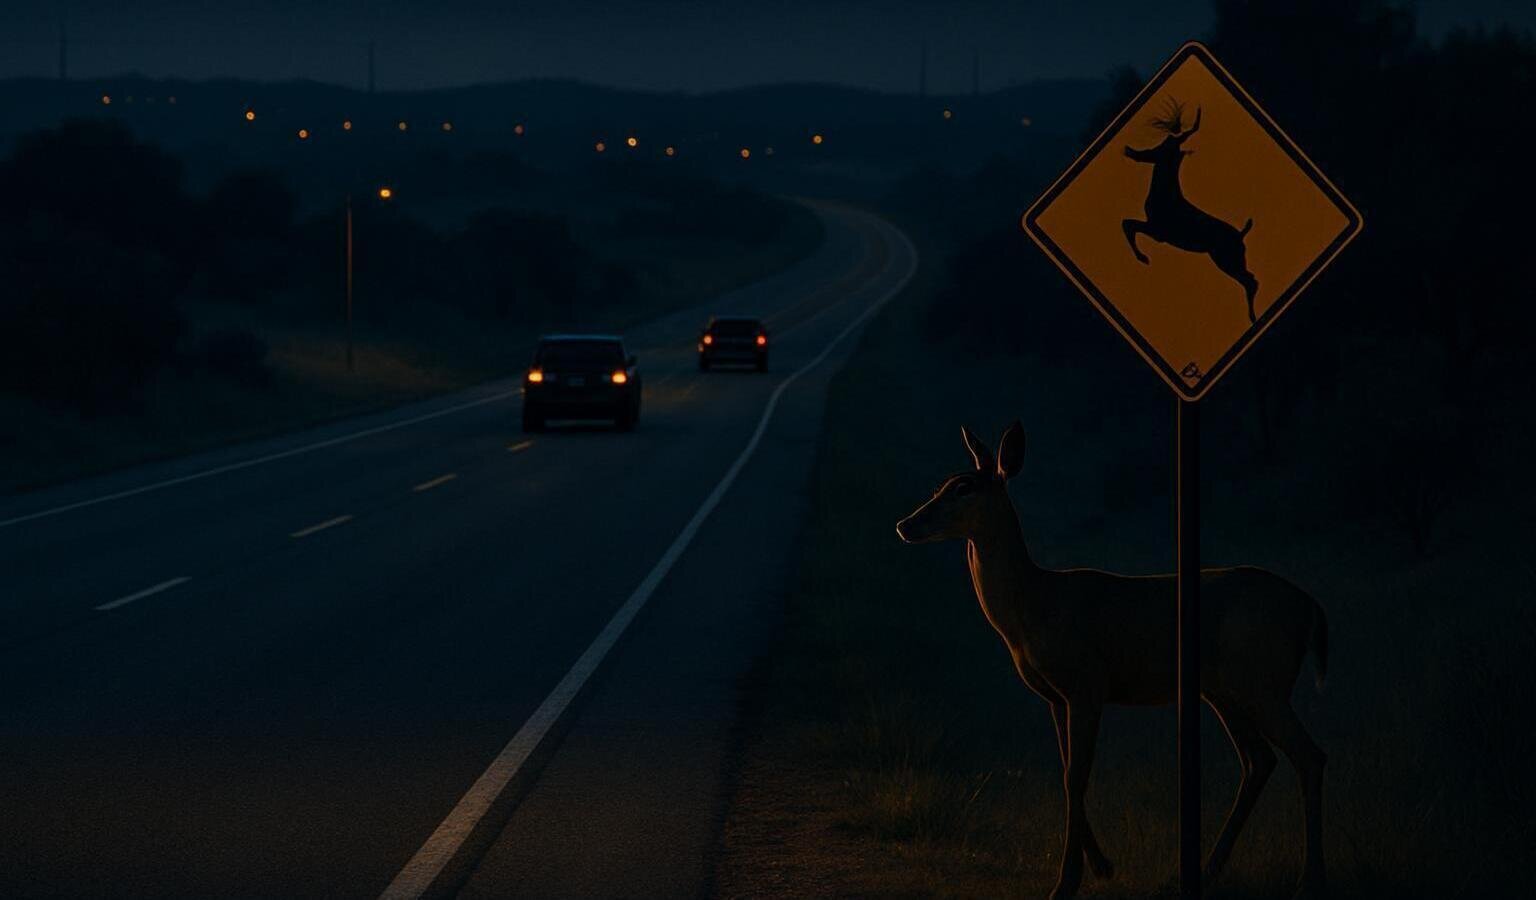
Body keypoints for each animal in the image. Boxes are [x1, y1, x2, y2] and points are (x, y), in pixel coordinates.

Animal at [895, 422, 1329, 900]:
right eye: (940, 485)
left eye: (964, 487)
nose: (906, 524)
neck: (1034, 606)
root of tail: (1310, 608)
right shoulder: (1055, 696)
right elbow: (1067, 773)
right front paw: (1101, 866)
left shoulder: (1087, 681)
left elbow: (1077, 775)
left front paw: (1068, 881)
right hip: (1225, 690)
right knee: (1259, 760)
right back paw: (1206, 870)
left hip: (1262, 681)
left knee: (1309, 756)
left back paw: (1310, 878)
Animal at [1122, 97, 1261, 324]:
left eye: (1162, 145)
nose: (1130, 151)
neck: (1165, 192)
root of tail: (1242, 234)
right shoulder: (1156, 231)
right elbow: (1127, 224)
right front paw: (1143, 258)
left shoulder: (1158, 231)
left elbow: (1127, 224)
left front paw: (1143, 258)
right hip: (1229, 259)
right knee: (1251, 279)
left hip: (1226, 259)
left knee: (1251, 281)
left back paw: (1252, 317)